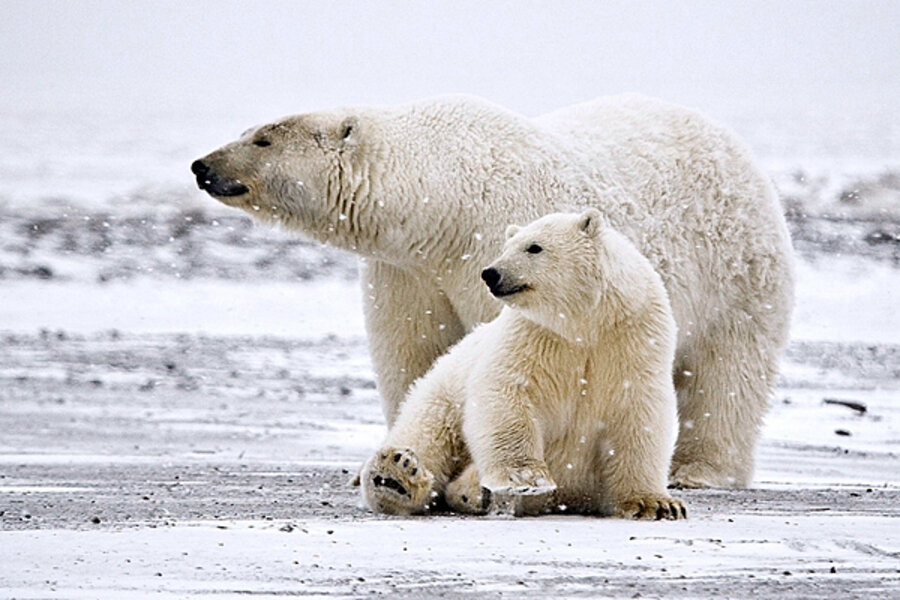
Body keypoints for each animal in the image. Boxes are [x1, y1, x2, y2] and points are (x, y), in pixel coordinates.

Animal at [360, 209, 686, 519]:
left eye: (534, 247)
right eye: (506, 247)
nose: (490, 273)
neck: (585, 323)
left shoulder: (634, 339)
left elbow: (639, 413)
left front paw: (655, 504)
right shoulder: (533, 334)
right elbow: (507, 390)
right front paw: (525, 478)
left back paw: (470, 489)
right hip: (443, 392)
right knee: (427, 432)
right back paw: (396, 476)